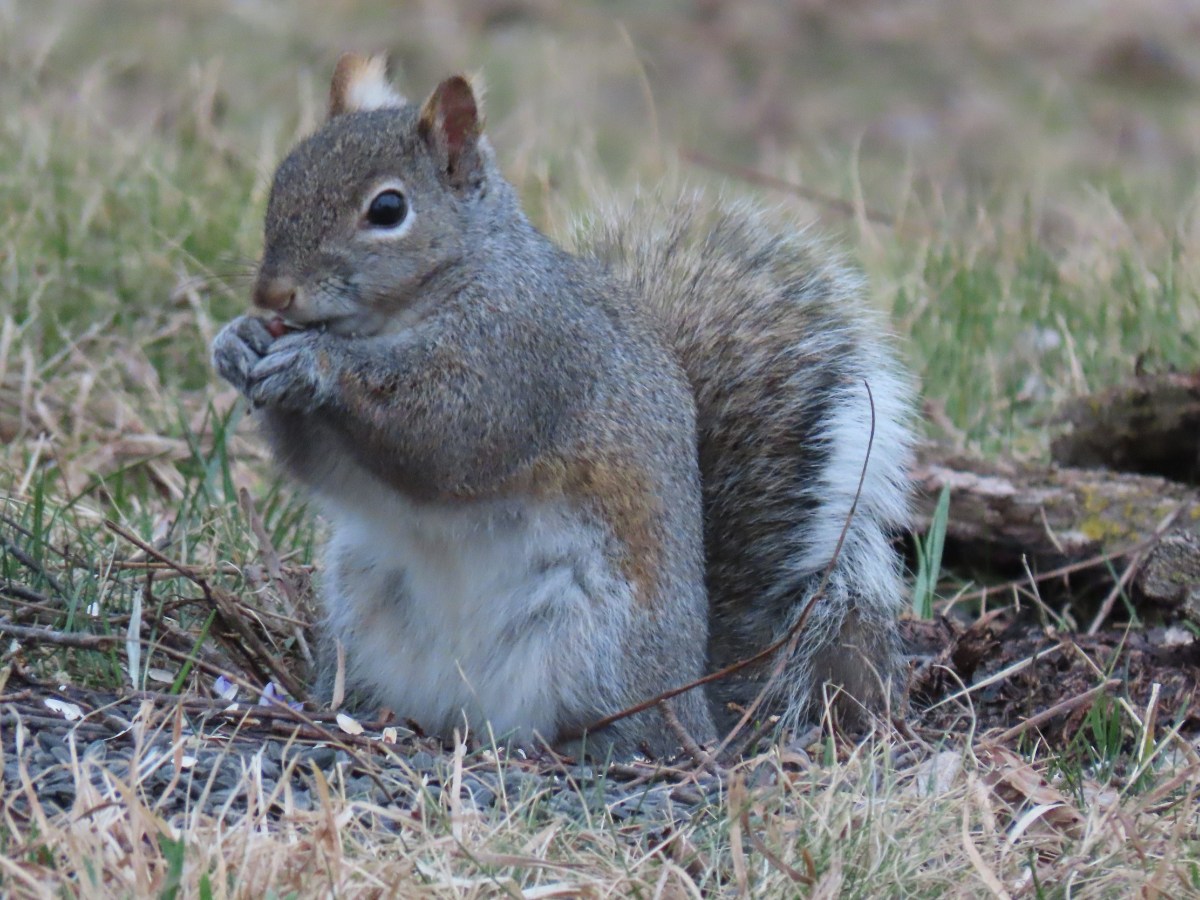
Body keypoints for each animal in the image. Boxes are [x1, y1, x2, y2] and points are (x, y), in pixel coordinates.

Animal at [211, 54, 914, 758]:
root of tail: (698, 704)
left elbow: (445, 435)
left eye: (388, 209)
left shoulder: (526, 356)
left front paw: (314, 364)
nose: (271, 294)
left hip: (592, 642)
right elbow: (325, 467)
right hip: (363, 608)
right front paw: (237, 342)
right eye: (284, 177)